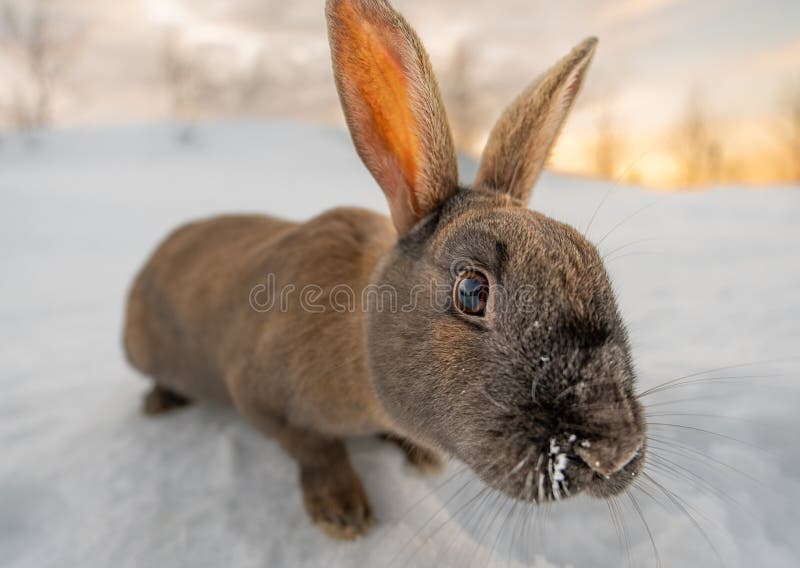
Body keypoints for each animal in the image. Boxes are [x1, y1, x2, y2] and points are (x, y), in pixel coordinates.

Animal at [123, 0, 646, 541]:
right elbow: (314, 448)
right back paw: (159, 402)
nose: (613, 451)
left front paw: (419, 458)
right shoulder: (257, 394)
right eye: (472, 291)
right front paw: (343, 514)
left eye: (595, 266)